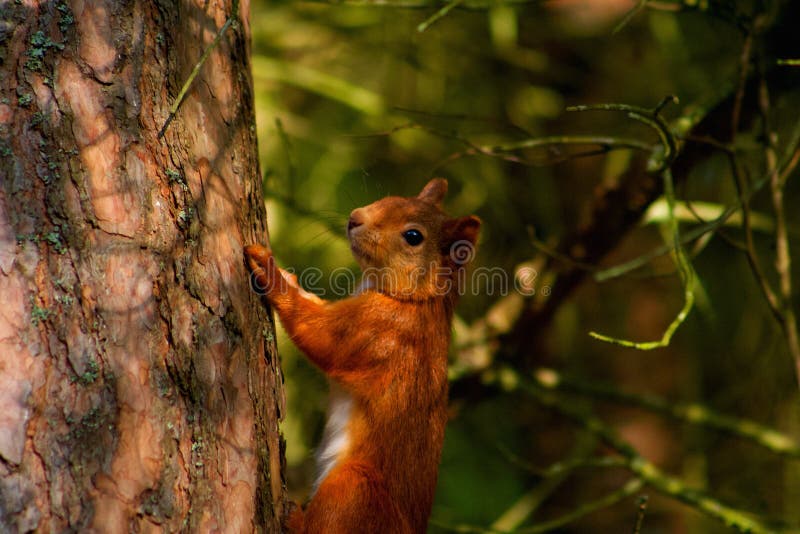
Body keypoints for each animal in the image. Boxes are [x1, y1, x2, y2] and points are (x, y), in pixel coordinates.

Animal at [244, 179, 480, 533]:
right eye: (388, 198)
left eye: (414, 236)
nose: (355, 218)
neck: (418, 301)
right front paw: (286, 277)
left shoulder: (380, 333)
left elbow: (322, 338)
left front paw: (271, 274)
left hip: (354, 489)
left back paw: (294, 518)